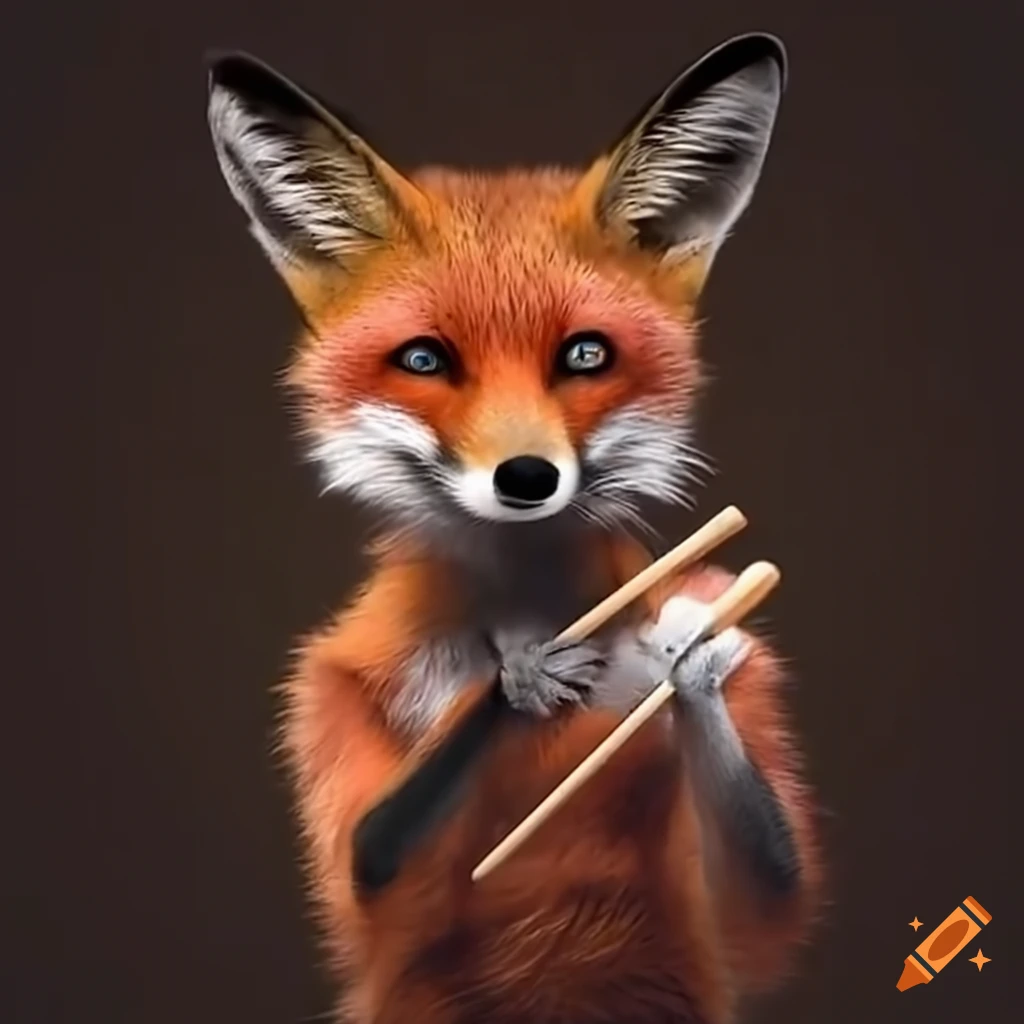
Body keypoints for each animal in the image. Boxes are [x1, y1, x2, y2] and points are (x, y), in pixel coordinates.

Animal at [206, 31, 823, 1024]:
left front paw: (690, 662)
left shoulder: (751, 855)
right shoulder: (332, 701)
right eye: (425, 359)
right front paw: (519, 677)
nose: (527, 478)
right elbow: (375, 861)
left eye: (586, 354)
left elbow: (764, 895)